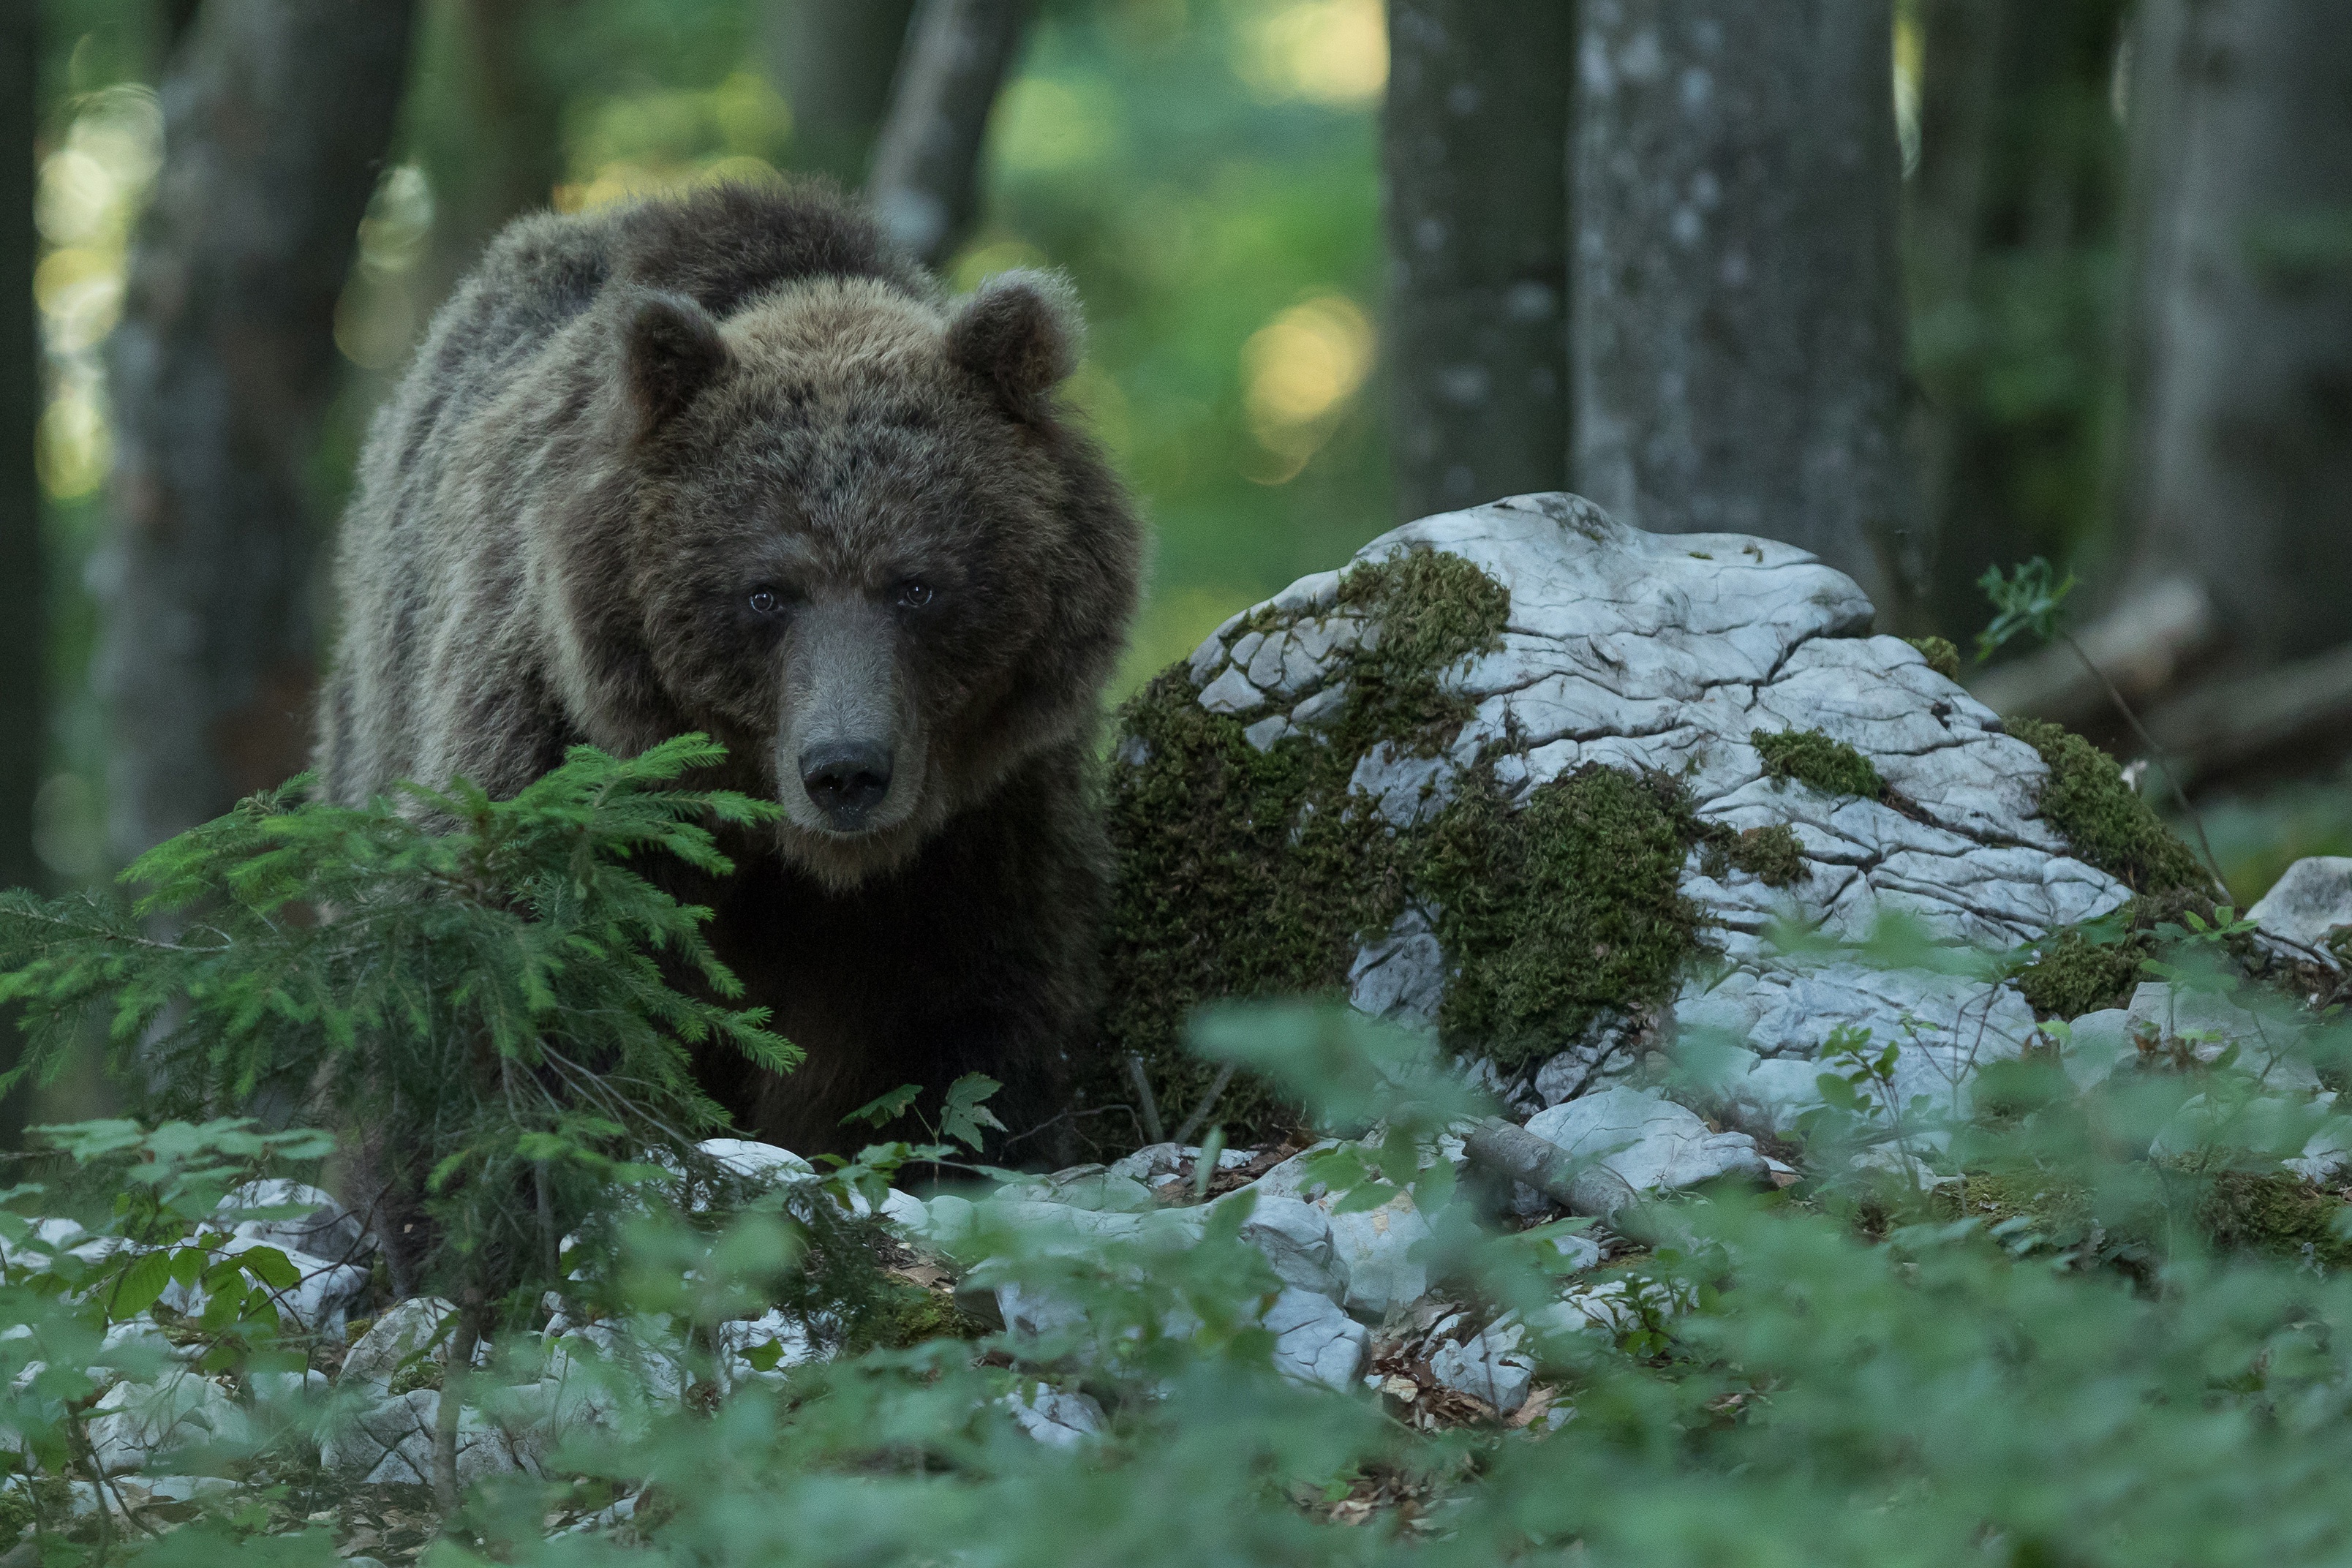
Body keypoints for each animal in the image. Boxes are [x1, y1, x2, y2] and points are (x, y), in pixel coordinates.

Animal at [317, 180, 1143, 1172]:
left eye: (915, 583)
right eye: (766, 591)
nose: (845, 770)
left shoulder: (984, 818)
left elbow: (971, 1019)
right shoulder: (570, 754)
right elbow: (514, 967)